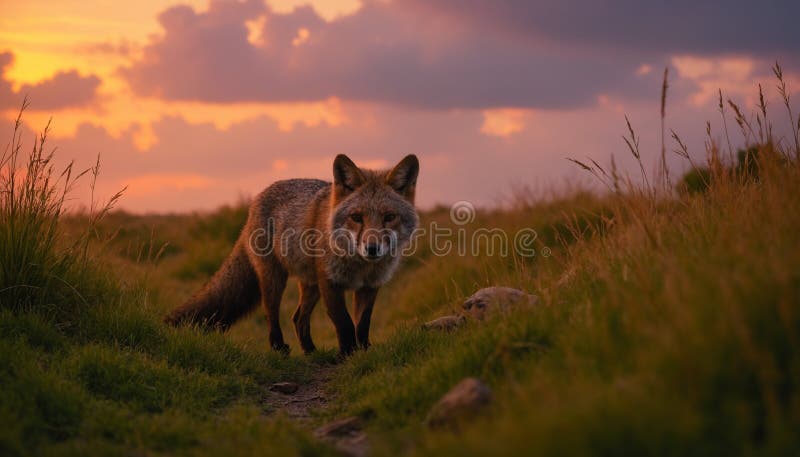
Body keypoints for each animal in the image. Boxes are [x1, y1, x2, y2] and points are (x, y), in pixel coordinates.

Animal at [165, 154, 419, 356]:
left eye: (389, 217)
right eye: (357, 217)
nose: (372, 248)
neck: (360, 266)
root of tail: (256, 199)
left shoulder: (370, 286)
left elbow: (362, 325)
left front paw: (363, 352)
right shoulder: (330, 283)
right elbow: (345, 324)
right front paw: (347, 354)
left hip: (310, 286)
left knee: (298, 318)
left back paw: (310, 351)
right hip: (275, 279)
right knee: (271, 313)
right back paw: (279, 348)